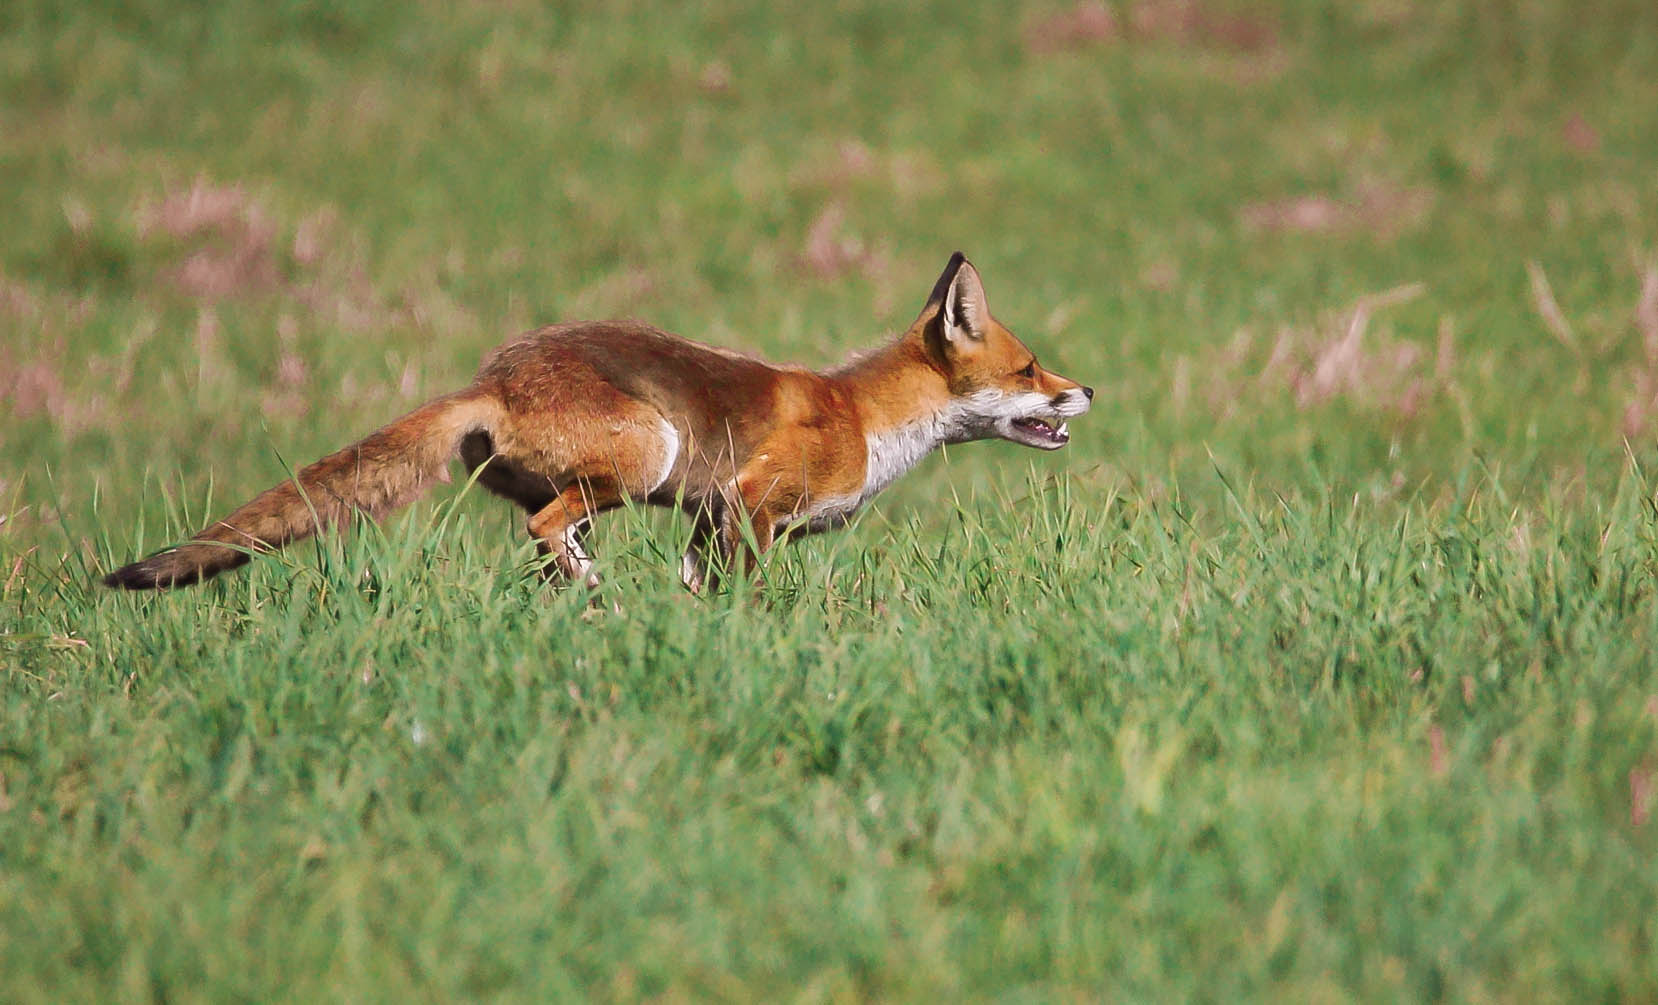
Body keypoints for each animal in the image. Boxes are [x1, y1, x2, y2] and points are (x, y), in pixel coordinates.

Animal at [103, 252, 1093, 592]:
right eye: (1030, 368)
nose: (1086, 391)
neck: (866, 419)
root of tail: (492, 377)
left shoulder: (709, 521)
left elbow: (698, 589)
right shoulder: (752, 504)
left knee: (544, 532)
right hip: (647, 452)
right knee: (549, 525)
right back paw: (587, 585)